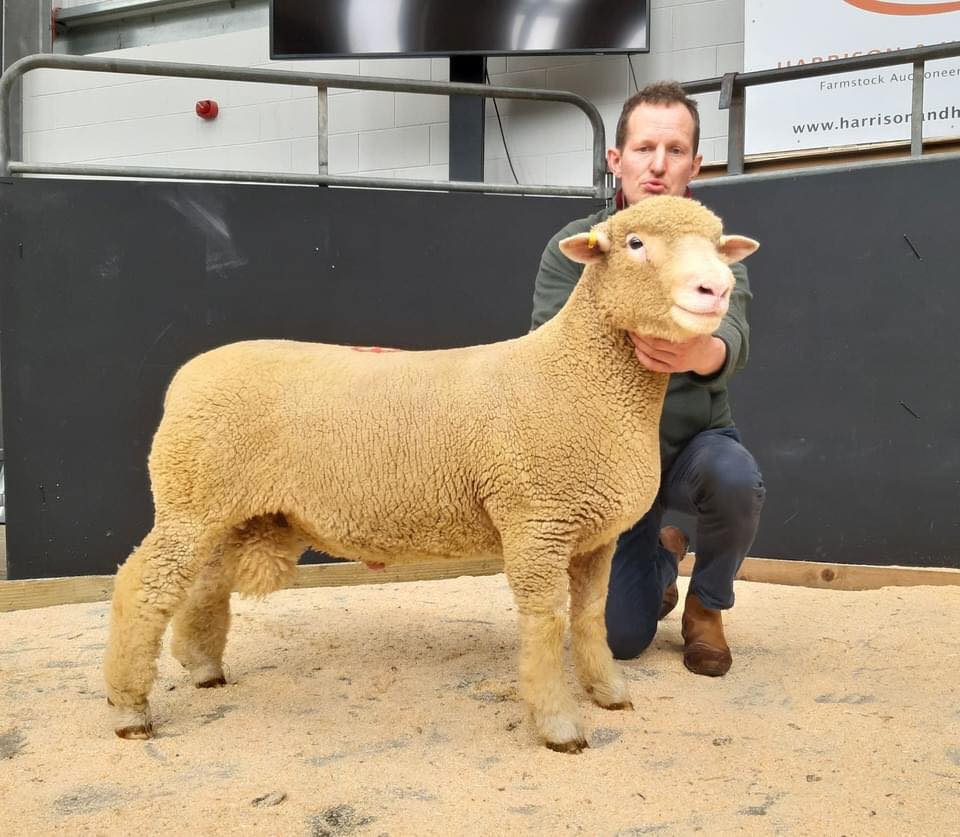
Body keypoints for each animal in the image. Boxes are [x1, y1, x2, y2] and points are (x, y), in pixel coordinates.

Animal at [104, 195, 759, 753]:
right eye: (636, 244)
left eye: (717, 245)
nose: (717, 287)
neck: (575, 376)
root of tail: (188, 375)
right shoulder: (537, 521)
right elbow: (546, 624)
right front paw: (558, 724)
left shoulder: (594, 534)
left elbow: (592, 617)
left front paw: (608, 693)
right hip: (189, 501)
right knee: (143, 587)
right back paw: (129, 708)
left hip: (230, 509)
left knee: (204, 583)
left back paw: (203, 667)